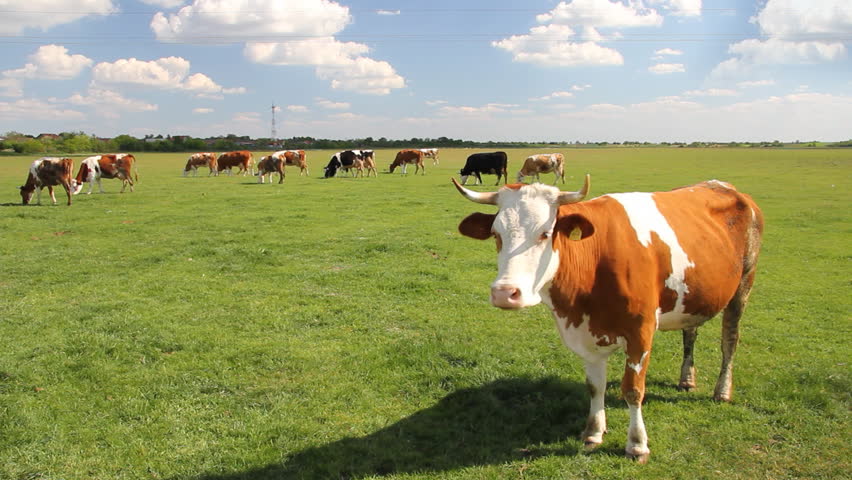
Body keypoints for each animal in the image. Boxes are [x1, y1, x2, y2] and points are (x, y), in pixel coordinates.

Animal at [453, 176, 763, 463]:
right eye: (496, 234)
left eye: (545, 233)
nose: (505, 293)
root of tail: (725, 186)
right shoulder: (585, 335)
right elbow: (595, 386)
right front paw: (593, 432)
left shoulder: (641, 331)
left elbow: (633, 389)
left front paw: (637, 444)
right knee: (691, 332)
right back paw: (687, 378)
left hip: (744, 284)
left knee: (730, 340)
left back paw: (722, 390)